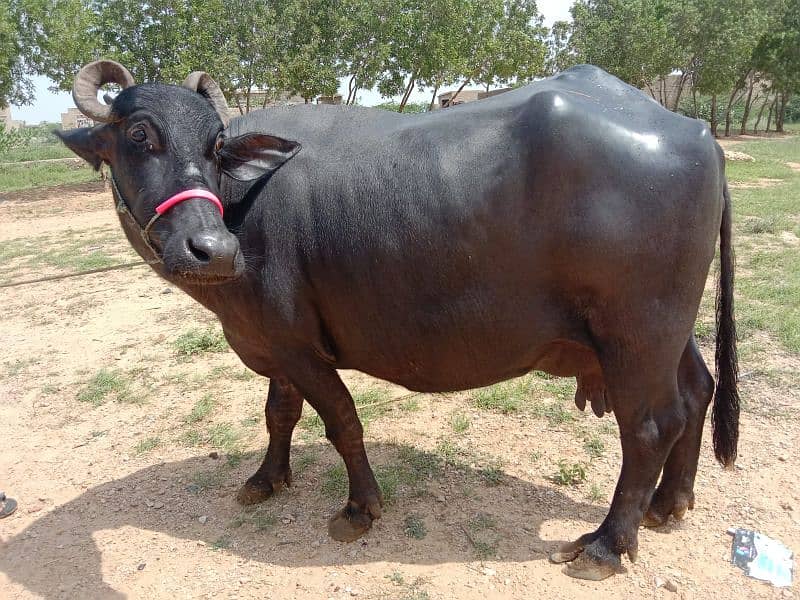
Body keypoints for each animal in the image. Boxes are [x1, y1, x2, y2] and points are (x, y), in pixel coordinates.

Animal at [57, 59, 740, 580]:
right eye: (138, 136)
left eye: (214, 145)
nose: (212, 249)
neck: (243, 203)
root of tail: (695, 132)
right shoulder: (272, 338)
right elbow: (280, 412)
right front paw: (266, 479)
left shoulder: (301, 349)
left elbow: (341, 421)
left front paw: (360, 508)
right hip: (666, 330)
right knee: (695, 393)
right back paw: (669, 504)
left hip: (636, 333)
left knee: (650, 426)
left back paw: (607, 543)